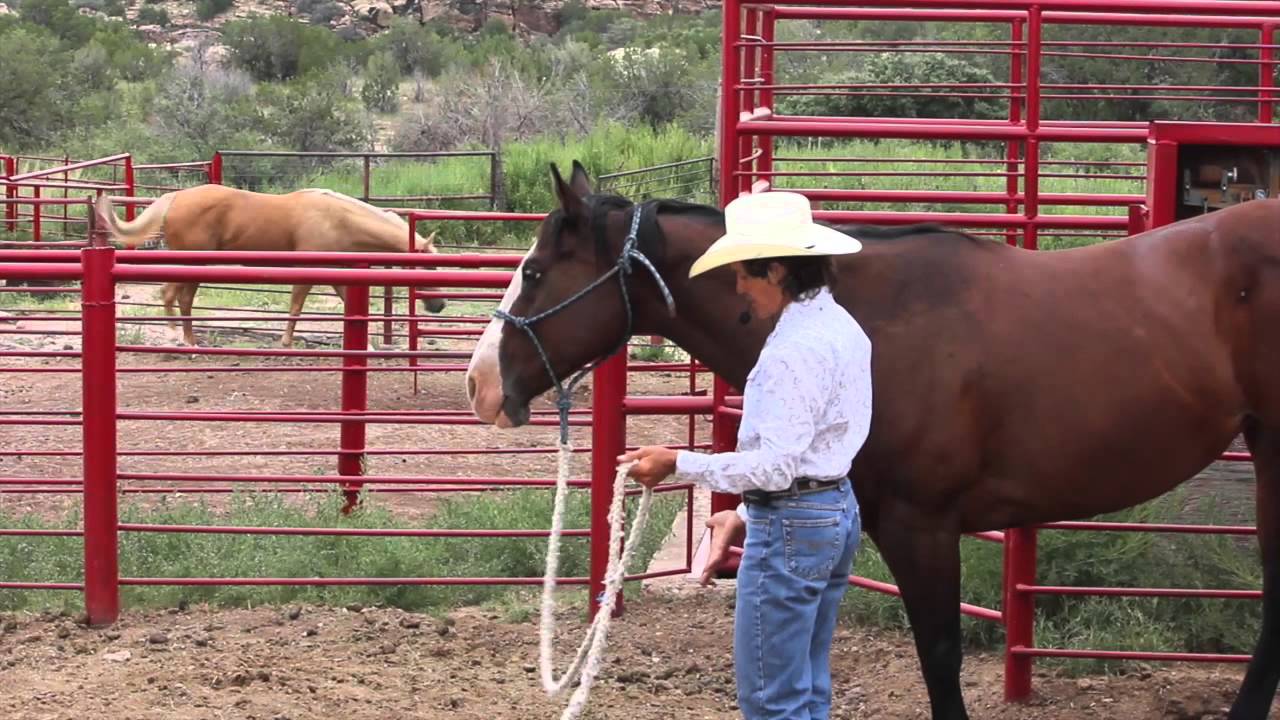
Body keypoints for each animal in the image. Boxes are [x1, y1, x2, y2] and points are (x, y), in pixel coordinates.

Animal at [95, 184, 448, 347]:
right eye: (429, 268)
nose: (440, 305)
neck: (336, 219)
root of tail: (176, 198)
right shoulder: (307, 273)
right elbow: (295, 308)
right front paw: (286, 342)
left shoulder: (335, 274)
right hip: (193, 262)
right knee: (173, 296)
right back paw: (181, 341)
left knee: (179, 299)